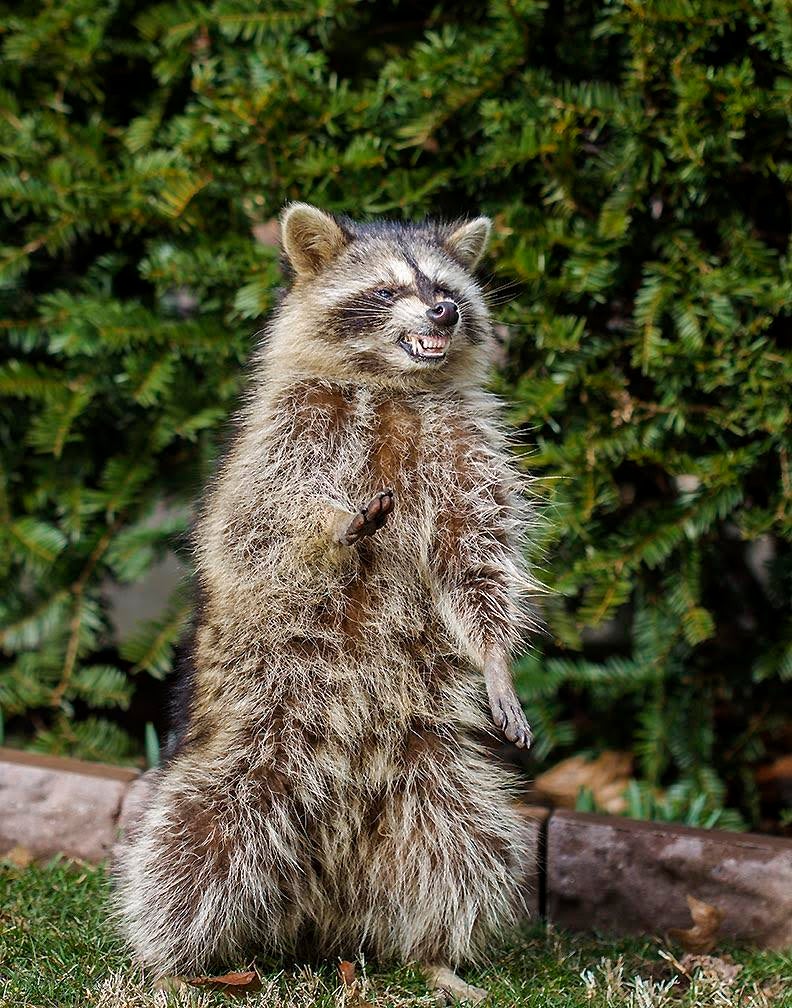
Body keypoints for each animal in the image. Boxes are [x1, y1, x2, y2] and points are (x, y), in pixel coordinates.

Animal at [112, 204, 540, 1003]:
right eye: (389, 289)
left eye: (444, 287)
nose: (444, 311)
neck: (393, 382)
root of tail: (325, 910)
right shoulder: (286, 433)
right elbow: (258, 526)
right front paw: (329, 526)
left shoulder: (462, 444)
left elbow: (475, 552)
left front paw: (496, 656)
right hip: (247, 745)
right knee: (191, 848)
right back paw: (173, 960)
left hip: (433, 765)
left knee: (464, 843)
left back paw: (437, 954)